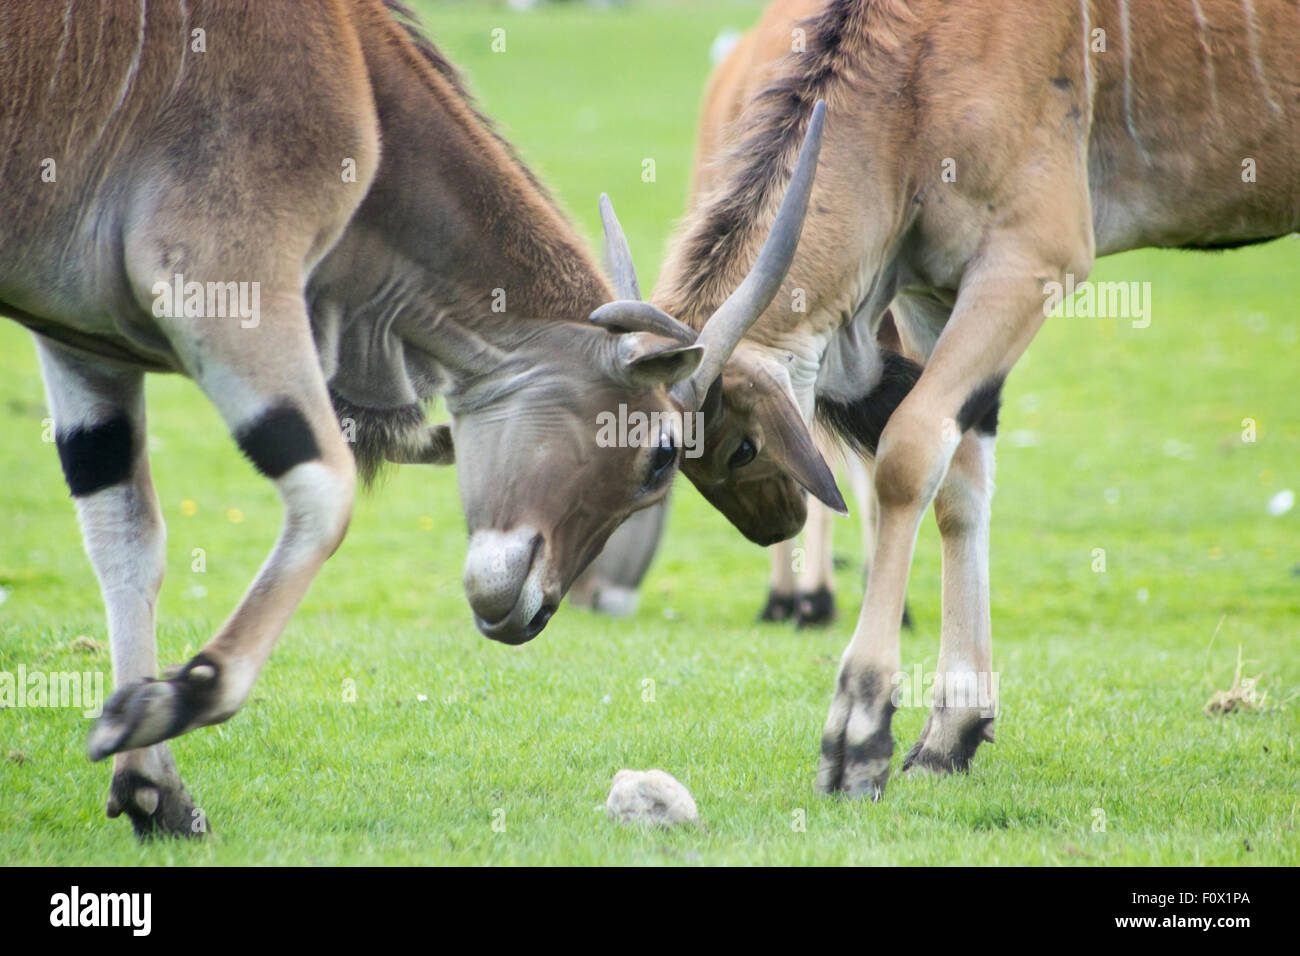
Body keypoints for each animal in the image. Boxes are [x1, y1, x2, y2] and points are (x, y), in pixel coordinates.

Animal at [0, 0, 824, 836]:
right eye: (660, 456)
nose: (532, 613)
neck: (365, 85)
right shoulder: (222, 277)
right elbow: (325, 490)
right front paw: (184, 694)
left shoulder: (81, 346)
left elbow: (126, 538)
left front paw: (152, 787)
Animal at [609, 0, 1300, 799]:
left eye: (740, 446)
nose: (771, 525)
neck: (919, 68)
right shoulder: (935, 291)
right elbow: (959, 482)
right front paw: (951, 734)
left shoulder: (1031, 259)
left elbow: (908, 458)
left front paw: (858, 731)